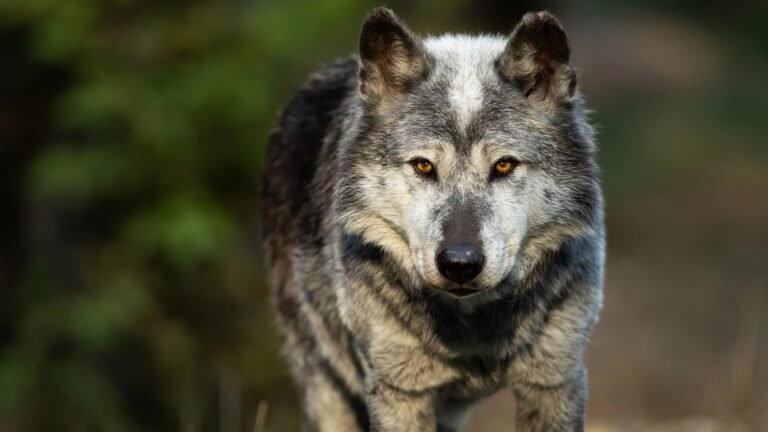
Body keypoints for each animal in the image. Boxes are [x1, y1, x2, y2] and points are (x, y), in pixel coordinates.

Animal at [262, 7, 604, 432]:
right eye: (424, 166)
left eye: (504, 165)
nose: (460, 263)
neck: (473, 328)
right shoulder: (399, 393)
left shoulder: (555, 382)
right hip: (325, 381)